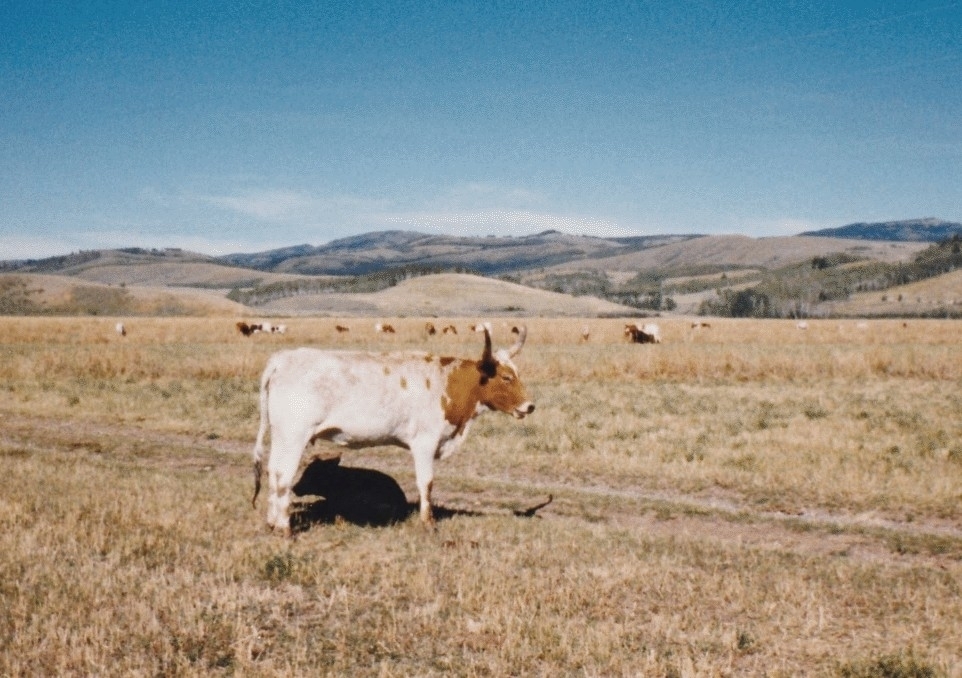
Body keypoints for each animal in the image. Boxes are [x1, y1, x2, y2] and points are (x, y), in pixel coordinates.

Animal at [251, 323, 535, 535]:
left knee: (273, 472)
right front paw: (428, 523)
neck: (446, 382)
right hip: (294, 436)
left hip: (281, 436)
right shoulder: (424, 443)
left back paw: (272, 523)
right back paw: (285, 528)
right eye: (506, 377)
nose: (530, 406)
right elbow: (426, 483)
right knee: (283, 475)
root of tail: (282, 359)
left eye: (517, 373)